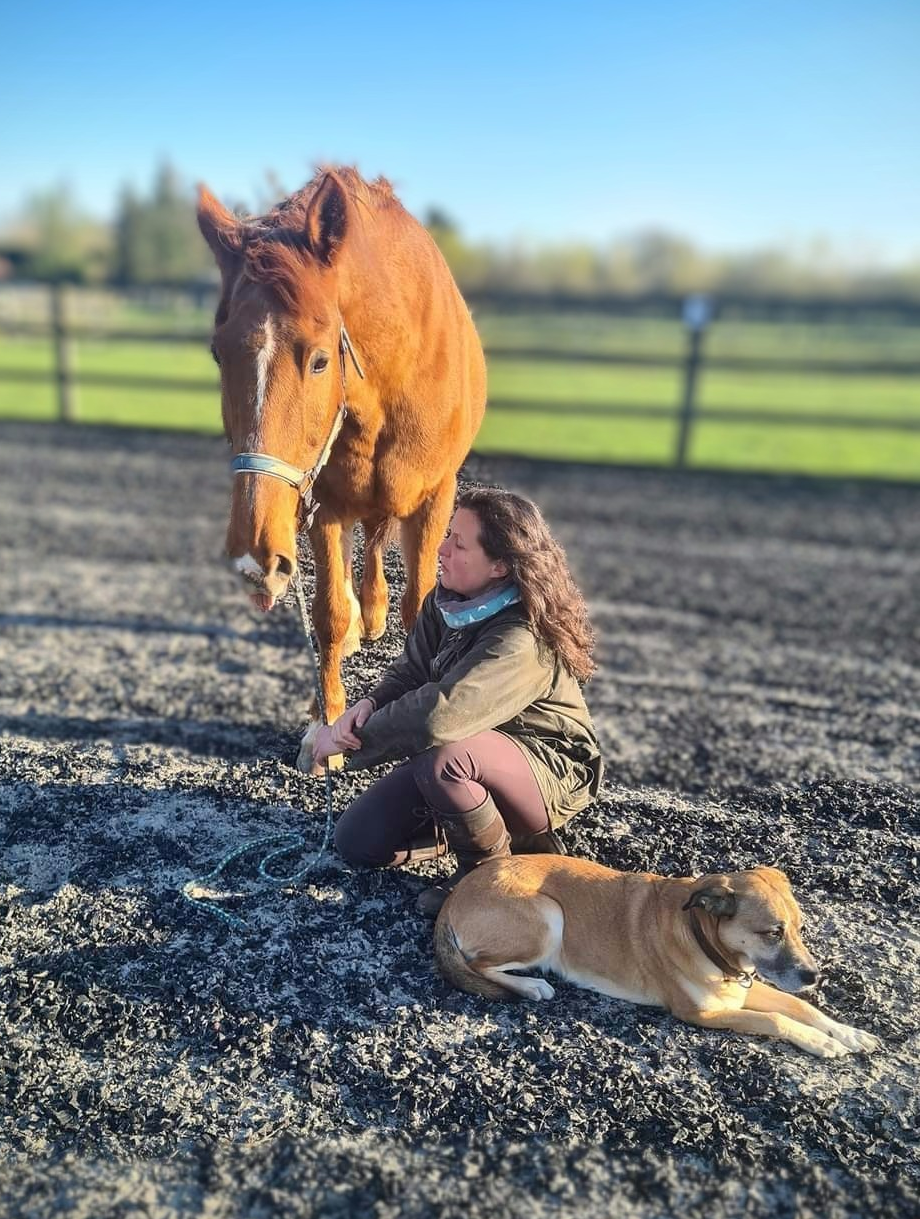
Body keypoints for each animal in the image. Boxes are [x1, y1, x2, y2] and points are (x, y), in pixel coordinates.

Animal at [197, 167, 487, 770]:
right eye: (218, 353)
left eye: (320, 359)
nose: (252, 560)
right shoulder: (326, 505)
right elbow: (327, 613)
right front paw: (325, 725)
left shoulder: (434, 499)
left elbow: (421, 605)